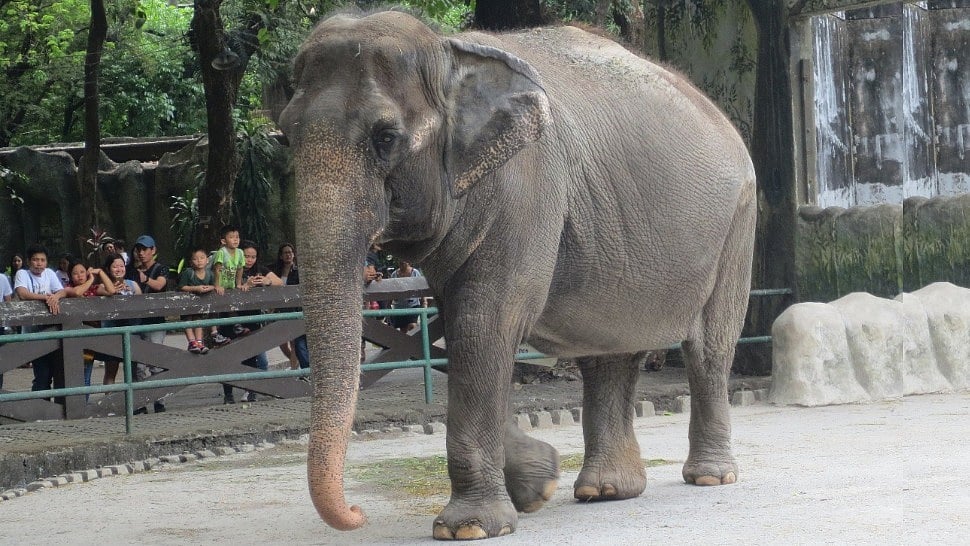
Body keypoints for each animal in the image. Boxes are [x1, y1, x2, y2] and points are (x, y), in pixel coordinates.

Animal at [272, 8, 756, 541]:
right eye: (285, 137)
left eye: (385, 138)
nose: (358, 513)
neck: (448, 52)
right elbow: (468, 328)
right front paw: (537, 485)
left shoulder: (527, 188)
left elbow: (485, 322)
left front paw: (470, 528)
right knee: (609, 350)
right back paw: (606, 490)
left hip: (738, 222)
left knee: (710, 345)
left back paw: (709, 477)